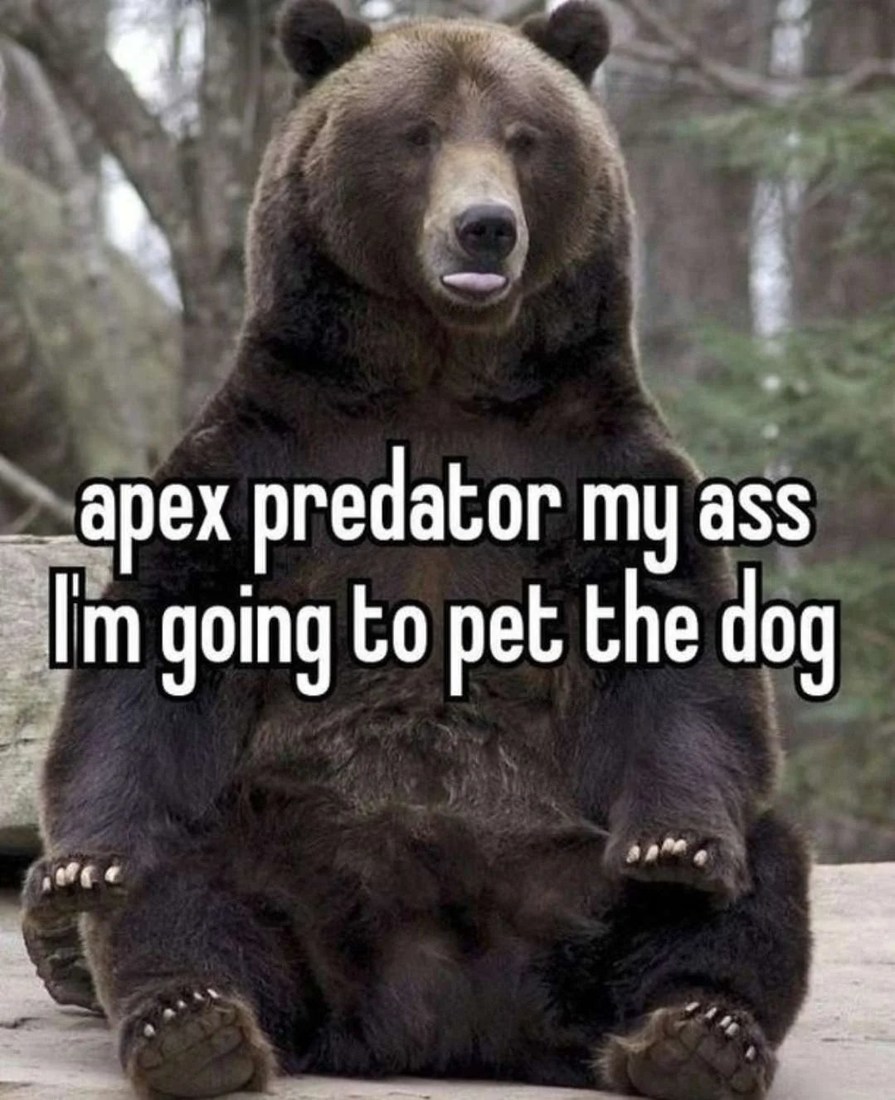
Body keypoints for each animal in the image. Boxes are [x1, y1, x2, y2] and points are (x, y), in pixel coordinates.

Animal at [21, 2, 811, 1098]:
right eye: (417, 133)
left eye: (524, 137)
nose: (485, 225)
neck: (440, 370)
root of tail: (444, 1013)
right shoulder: (268, 449)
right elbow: (161, 637)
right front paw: (78, 863)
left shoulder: (592, 456)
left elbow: (679, 653)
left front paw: (677, 845)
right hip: (288, 840)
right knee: (180, 877)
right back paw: (193, 1024)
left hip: (572, 867)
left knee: (754, 875)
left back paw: (696, 1032)